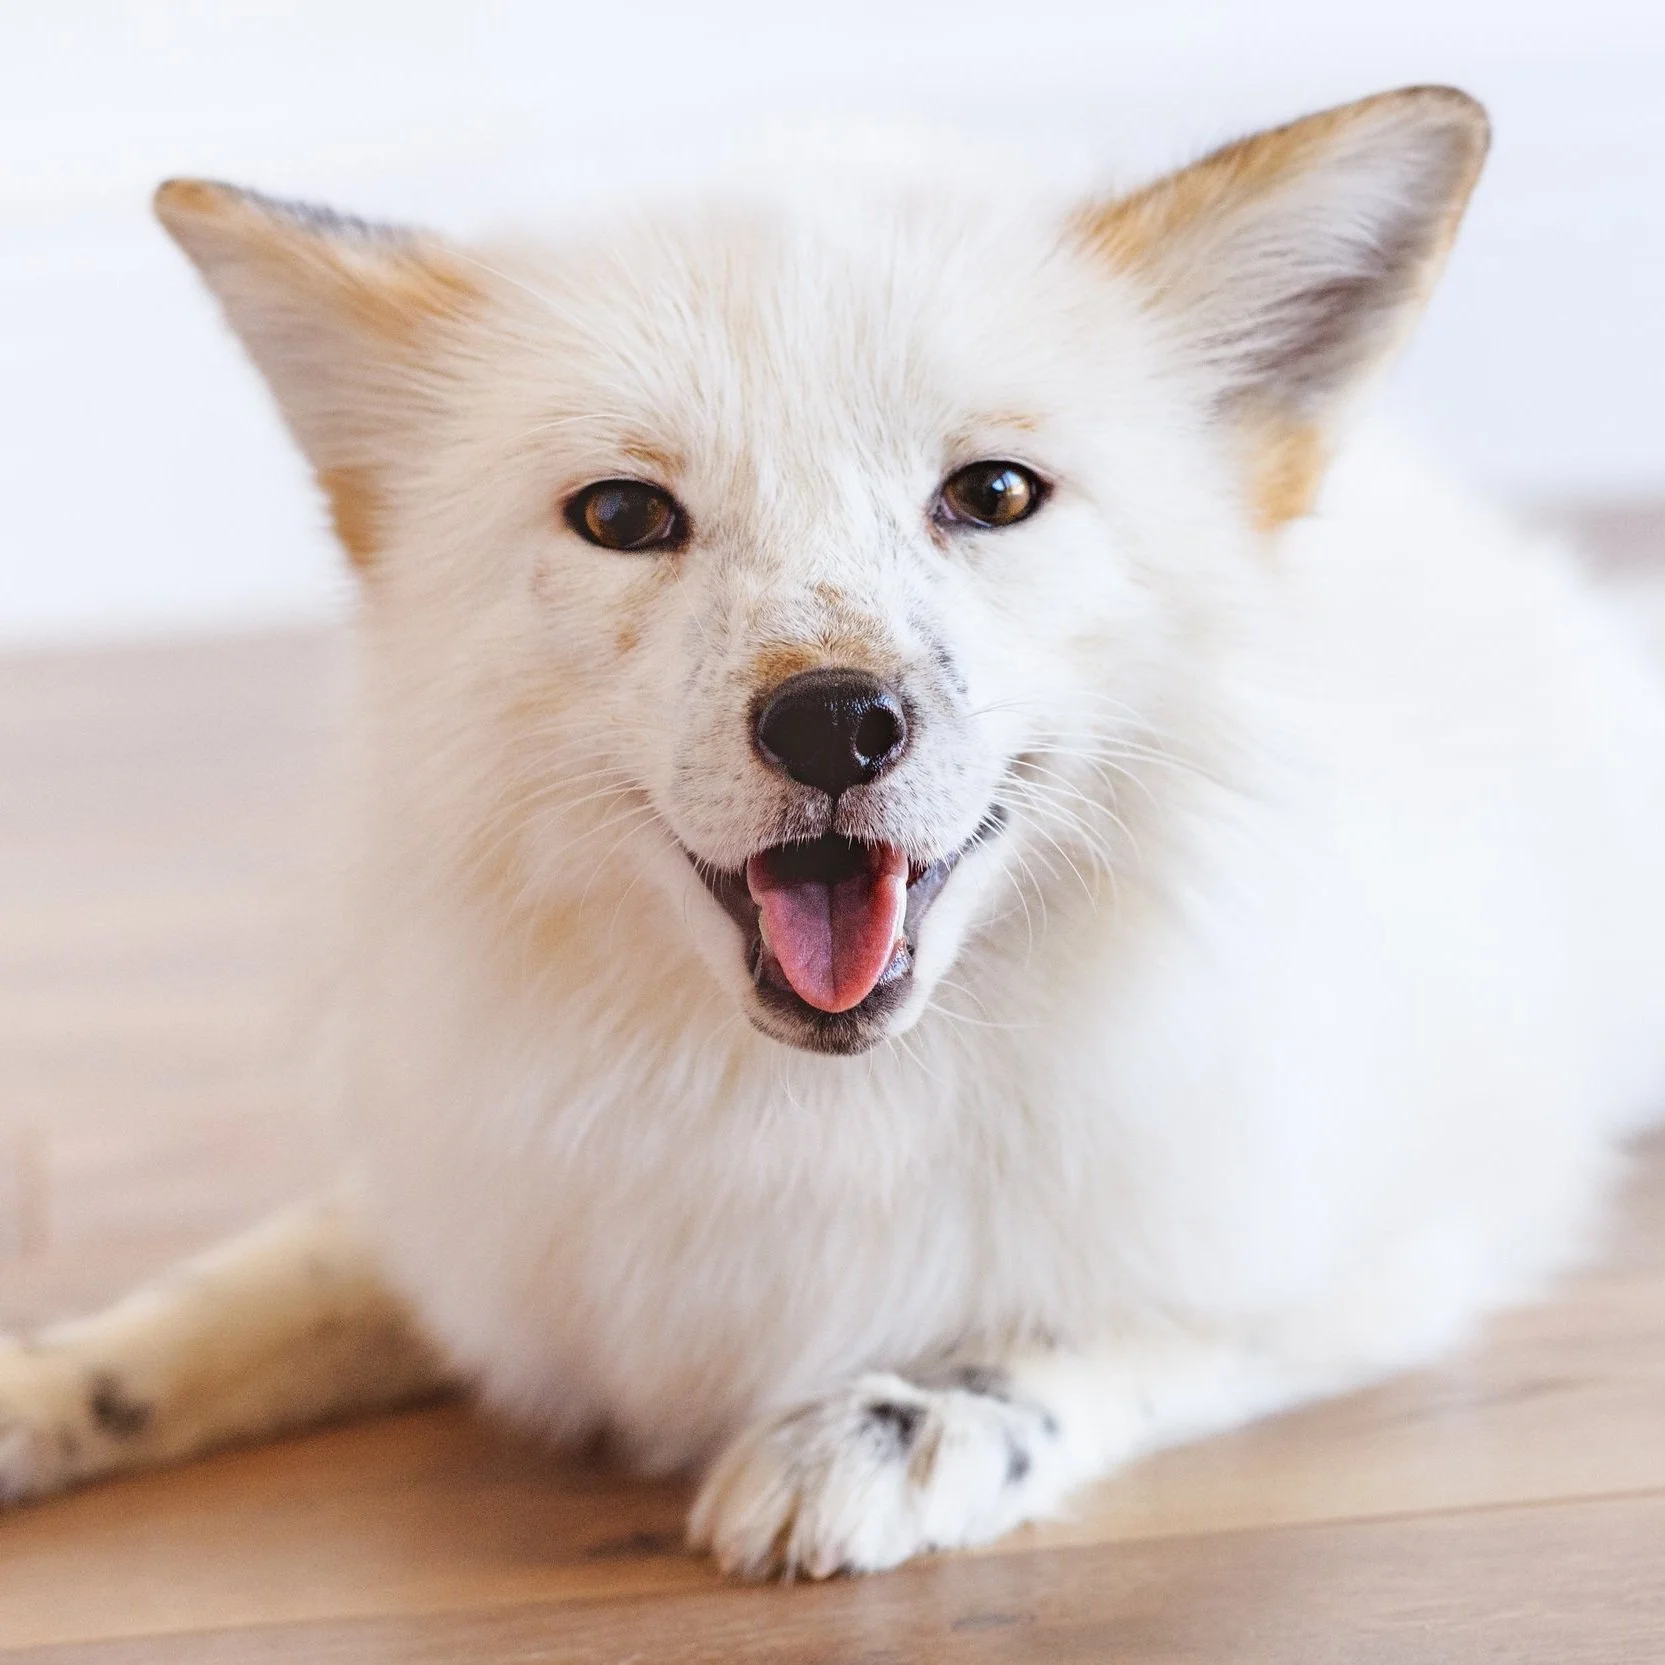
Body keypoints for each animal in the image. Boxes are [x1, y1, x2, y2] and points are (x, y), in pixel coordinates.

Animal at [3, 85, 1664, 1579]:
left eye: (992, 492)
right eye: (623, 516)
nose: (835, 723)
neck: (801, 1131)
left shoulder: (1383, 1258)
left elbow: (1099, 1332)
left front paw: (902, 1423)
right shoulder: (470, 1217)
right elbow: (216, 1302)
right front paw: (47, 1383)